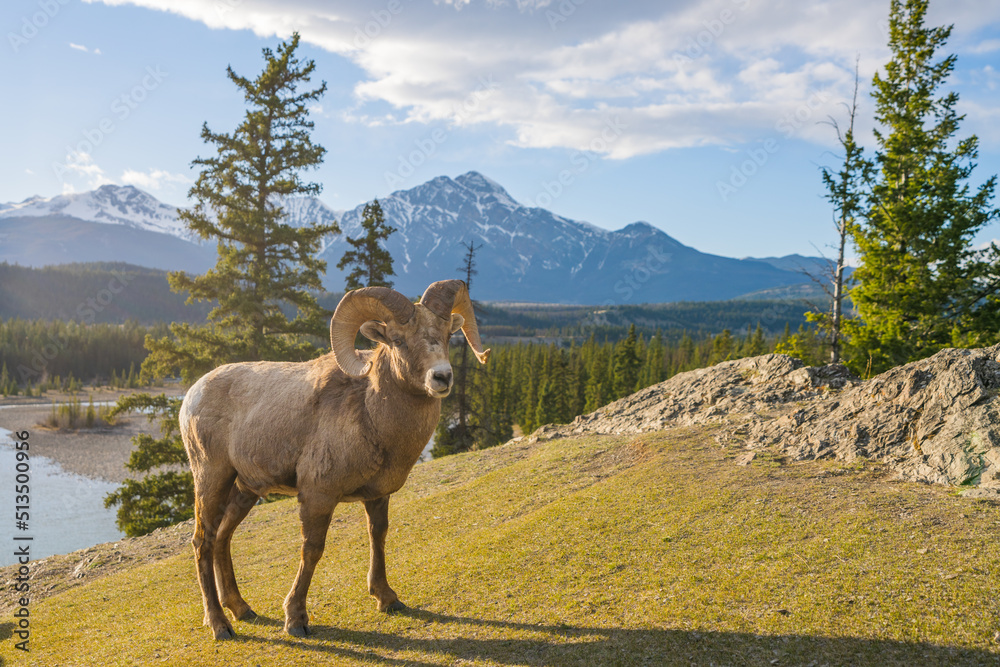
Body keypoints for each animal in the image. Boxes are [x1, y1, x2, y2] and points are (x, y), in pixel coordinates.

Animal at [178, 279, 490, 640]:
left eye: (447, 335)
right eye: (397, 340)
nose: (442, 377)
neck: (371, 413)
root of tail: (191, 396)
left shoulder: (378, 496)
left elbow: (378, 536)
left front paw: (387, 598)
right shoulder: (318, 495)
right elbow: (312, 549)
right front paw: (295, 619)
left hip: (245, 489)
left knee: (222, 538)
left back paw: (242, 610)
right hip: (212, 478)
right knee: (202, 542)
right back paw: (220, 625)